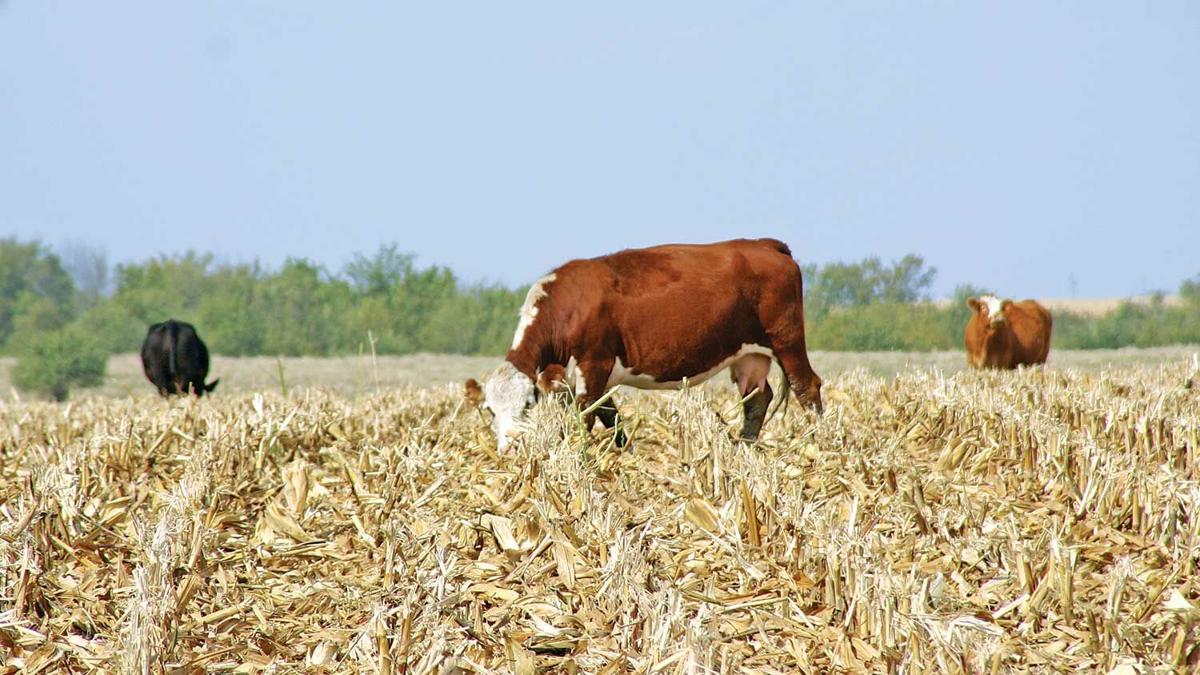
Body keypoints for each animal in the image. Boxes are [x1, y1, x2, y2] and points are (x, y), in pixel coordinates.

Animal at [465, 238, 823, 450]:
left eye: (527, 404)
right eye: (491, 410)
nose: (509, 447)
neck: (568, 307)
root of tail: (764, 244)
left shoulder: (594, 365)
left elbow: (586, 417)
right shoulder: (590, 377)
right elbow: (610, 416)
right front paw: (625, 451)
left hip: (787, 341)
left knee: (807, 387)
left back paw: (817, 442)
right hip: (749, 355)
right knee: (757, 399)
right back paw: (745, 447)